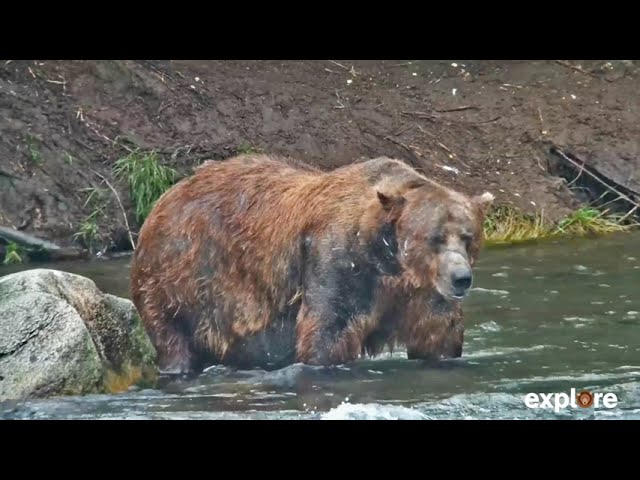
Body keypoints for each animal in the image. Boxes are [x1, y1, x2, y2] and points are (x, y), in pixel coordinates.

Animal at [130, 153, 494, 374]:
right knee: (173, 336)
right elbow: (326, 334)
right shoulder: (336, 263)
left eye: (467, 236)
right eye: (434, 237)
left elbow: (438, 336)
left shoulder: (420, 294)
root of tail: (165, 197)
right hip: (177, 279)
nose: (461, 278)